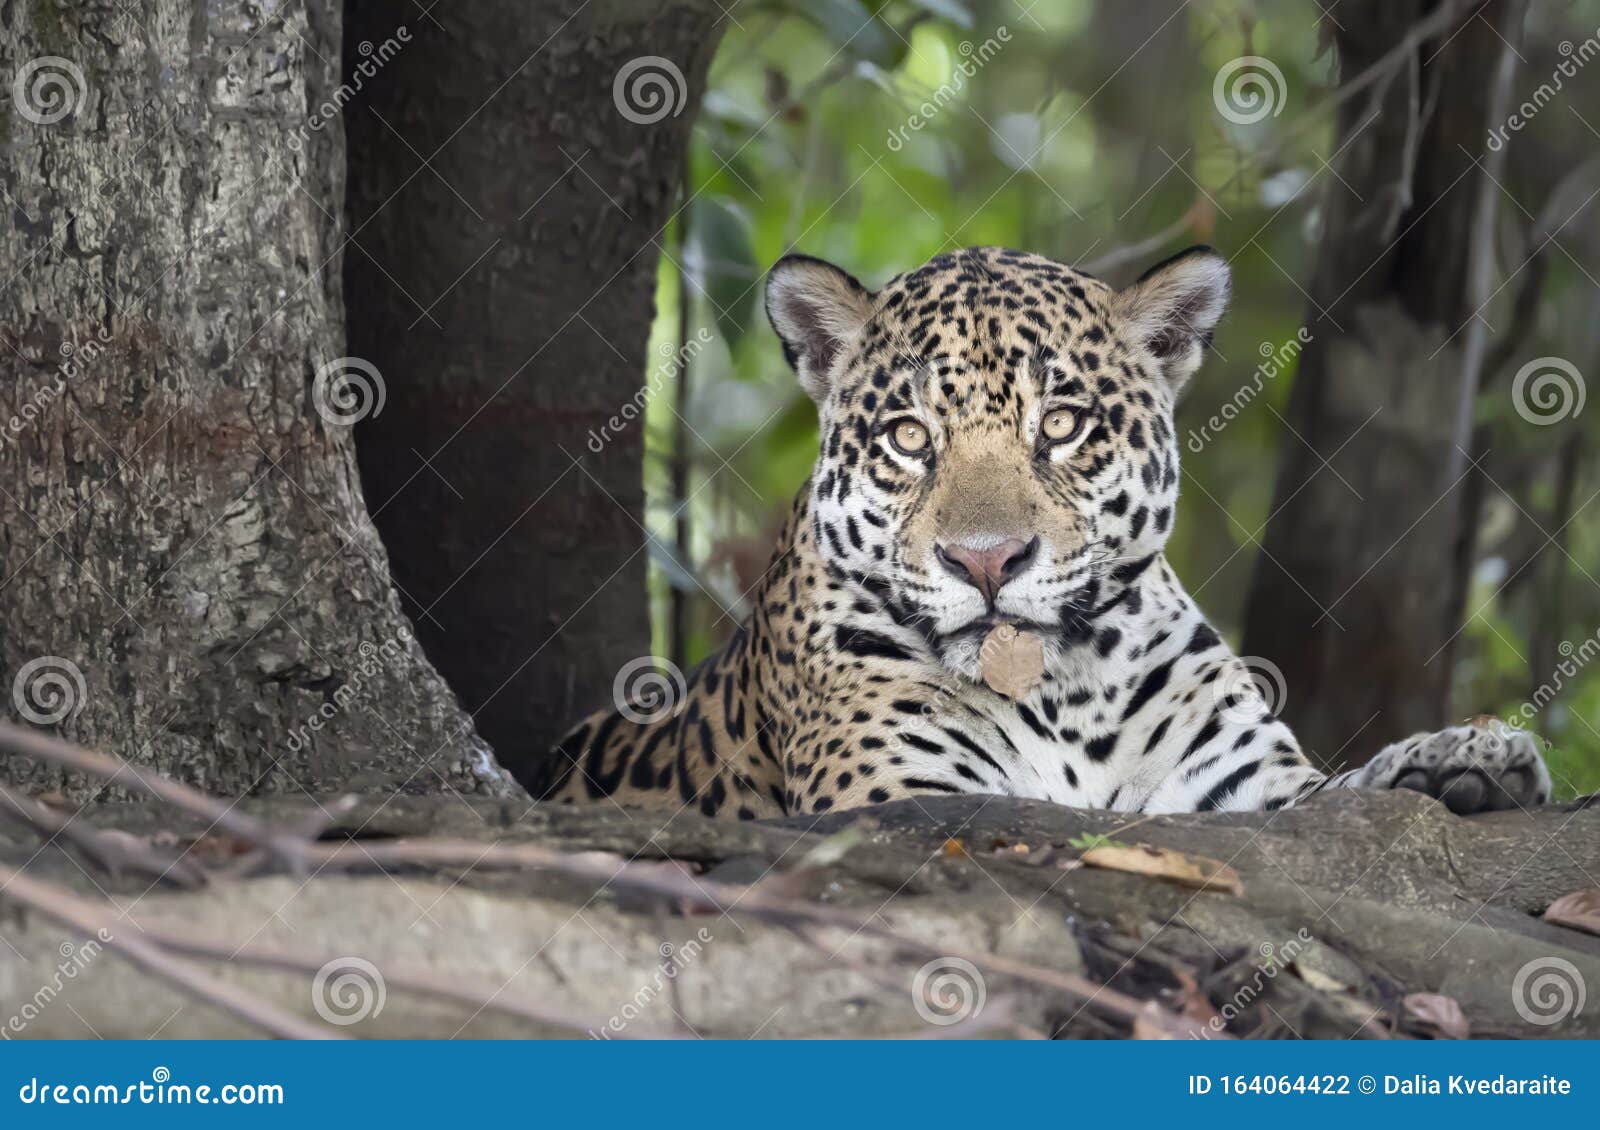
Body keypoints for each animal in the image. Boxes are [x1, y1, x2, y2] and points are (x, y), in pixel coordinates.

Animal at [528, 244, 1551, 821]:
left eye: (1059, 424)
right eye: (910, 437)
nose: (987, 562)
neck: (1065, 695)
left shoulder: (1243, 781)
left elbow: (1322, 794)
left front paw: (1467, 757)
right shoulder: (902, 800)